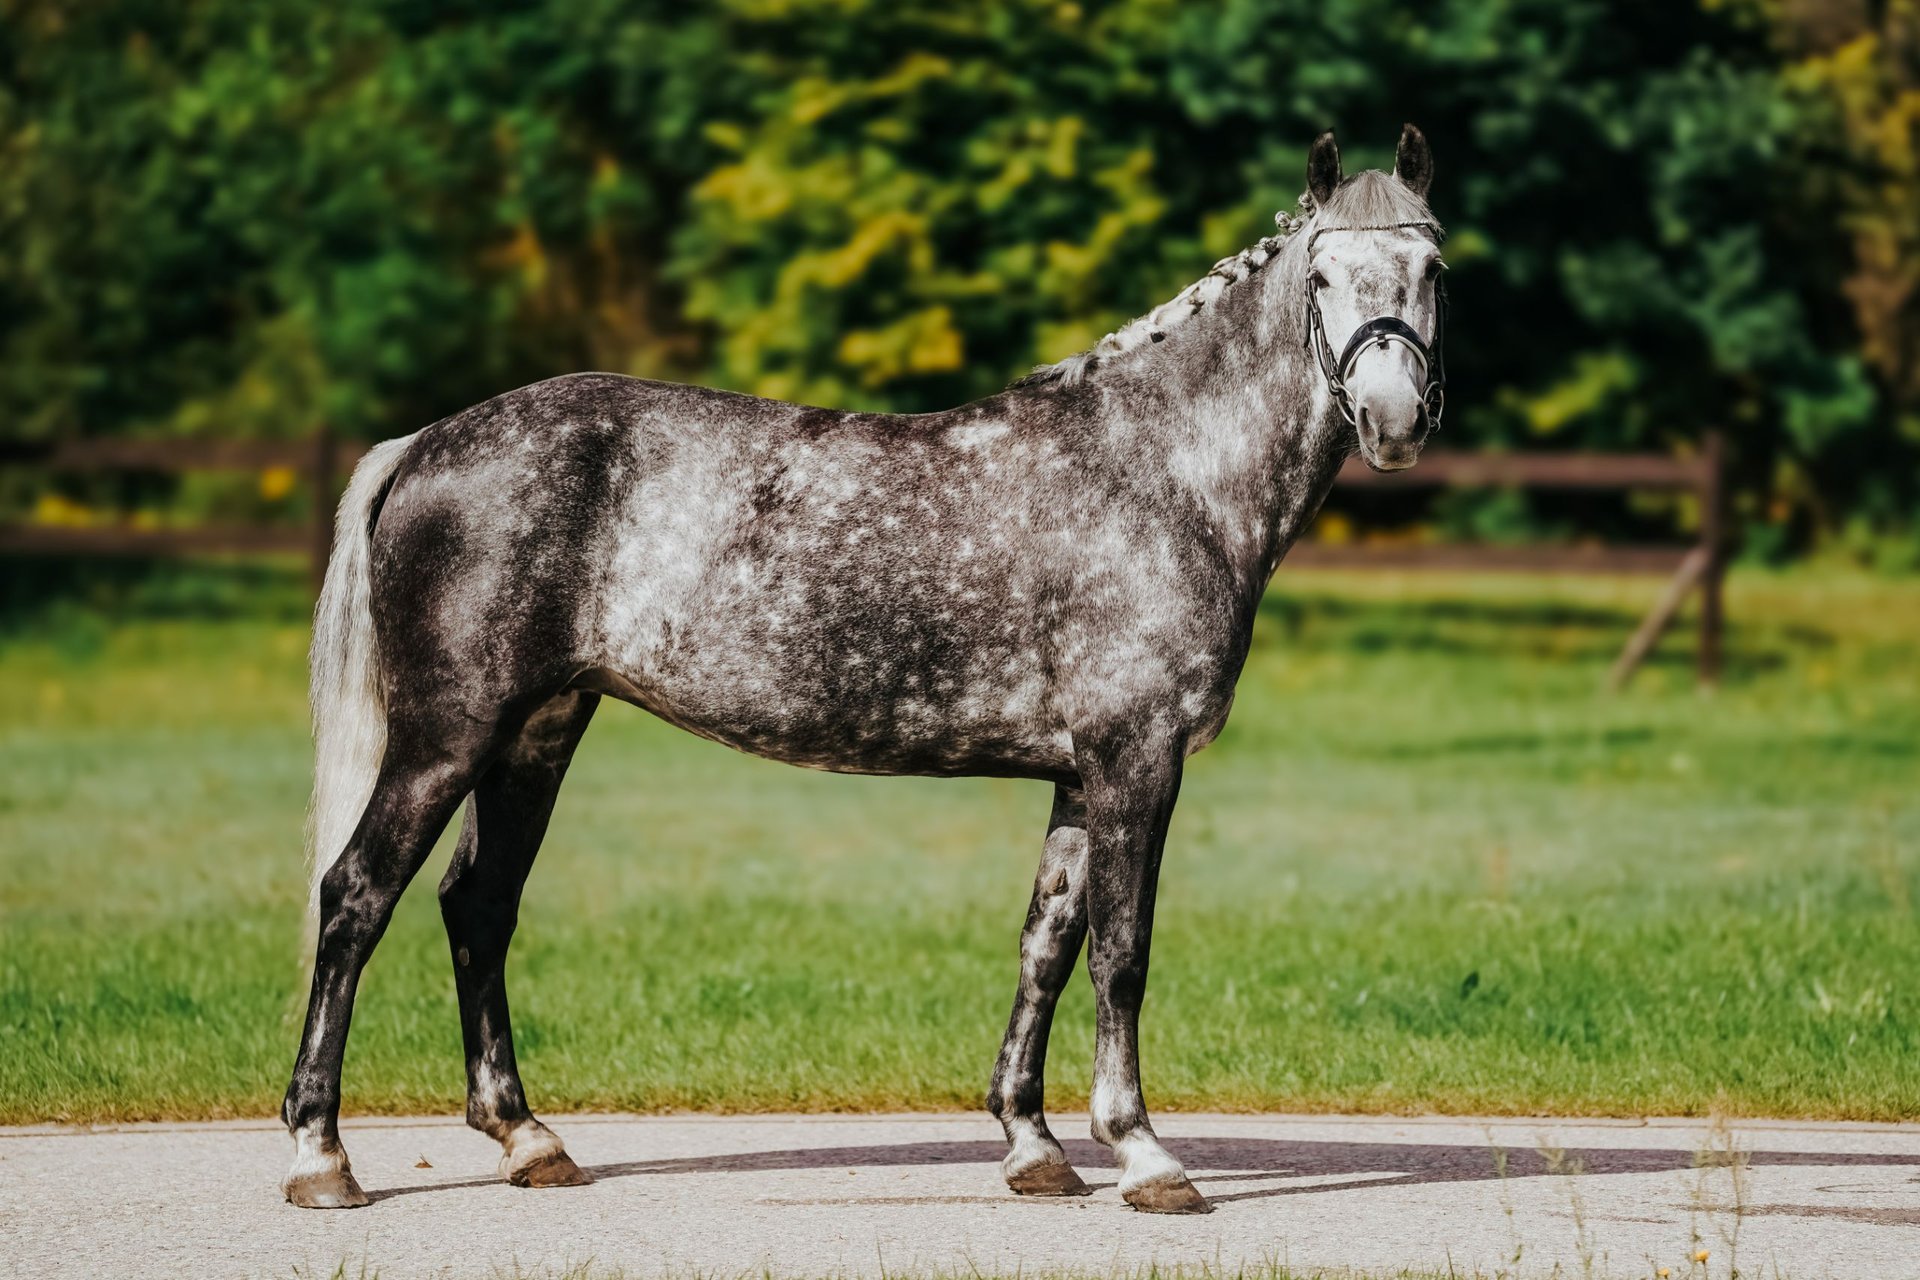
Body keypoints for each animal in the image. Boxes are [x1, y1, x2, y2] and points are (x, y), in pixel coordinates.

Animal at [282, 125, 1448, 1215]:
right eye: (1322, 276)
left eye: (1433, 270)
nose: (1393, 420)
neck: (1161, 471)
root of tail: (426, 442)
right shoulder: (1137, 758)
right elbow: (1122, 951)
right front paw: (1145, 1154)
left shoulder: (1082, 774)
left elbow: (1047, 940)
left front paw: (1033, 1145)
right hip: (448, 734)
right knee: (356, 894)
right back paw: (321, 1155)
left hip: (537, 731)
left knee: (478, 906)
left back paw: (528, 1139)